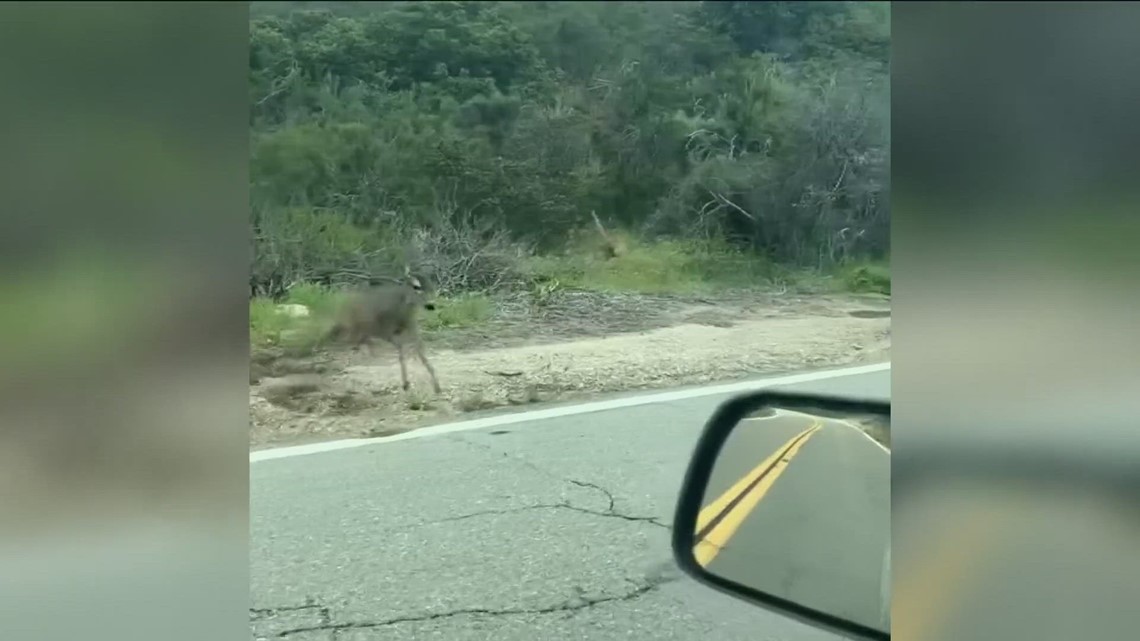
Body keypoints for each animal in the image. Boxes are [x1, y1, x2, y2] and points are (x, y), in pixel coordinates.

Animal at [324, 265, 442, 394]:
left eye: (432, 285)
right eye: (416, 286)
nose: (430, 305)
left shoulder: (412, 329)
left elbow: (419, 353)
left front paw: (435, 386)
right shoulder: (388, 332)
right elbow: (403, 353)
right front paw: (406, 383)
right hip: (353, 326)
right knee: (345, 340)